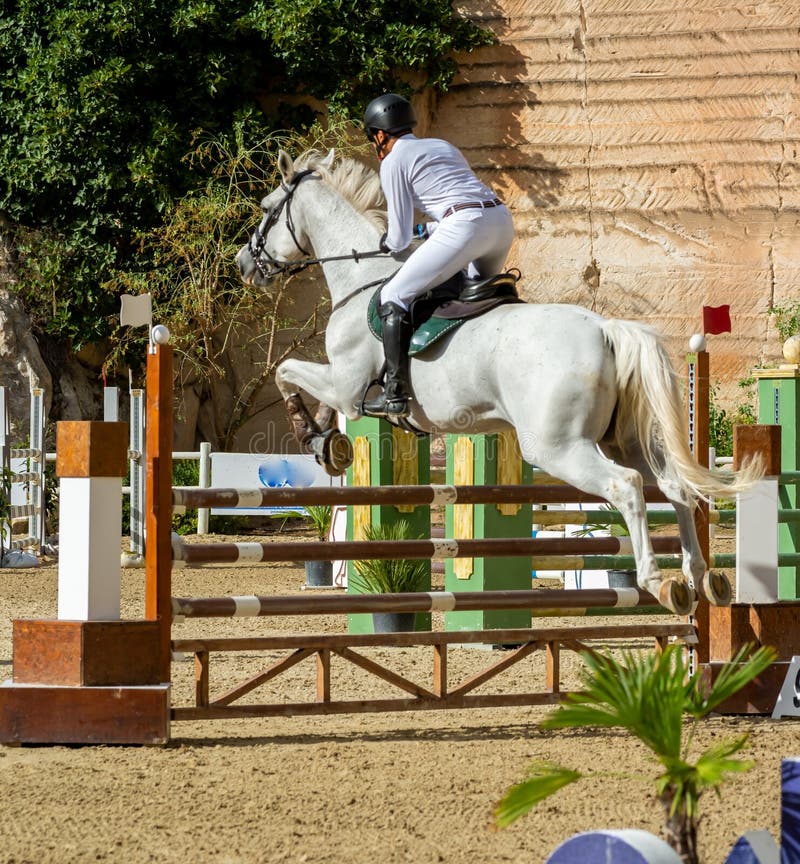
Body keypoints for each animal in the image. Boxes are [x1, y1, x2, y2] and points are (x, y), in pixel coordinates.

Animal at [236, 148, 761, 615]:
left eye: (264, 209)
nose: (243, 263)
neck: (360, 276)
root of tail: (606, 329)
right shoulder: (345, 386)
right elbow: (304, 384)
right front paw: (329, 442)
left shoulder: (345, 384)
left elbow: (286, 372)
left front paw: (315, 437)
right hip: (621, 439)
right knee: (673, 486)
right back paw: (700, 577)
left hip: (555, 447)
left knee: (627, 486)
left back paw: (657, 581)